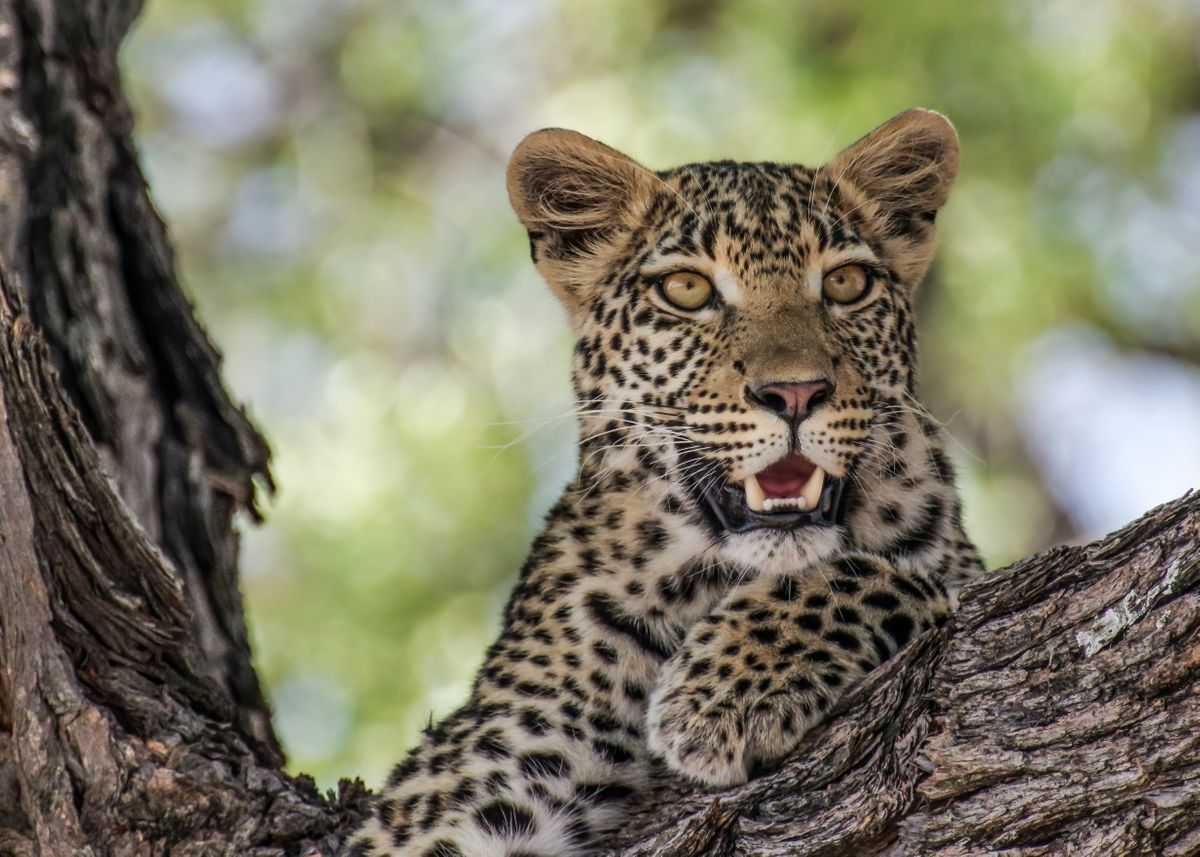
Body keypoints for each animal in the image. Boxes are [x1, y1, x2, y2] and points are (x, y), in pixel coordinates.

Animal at [343, 108, 986, 857]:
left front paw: (723, 692)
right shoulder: (492, 758)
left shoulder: (952, 565)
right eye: (687, 290)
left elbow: (900, 576)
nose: (796, 393)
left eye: (847, 284)